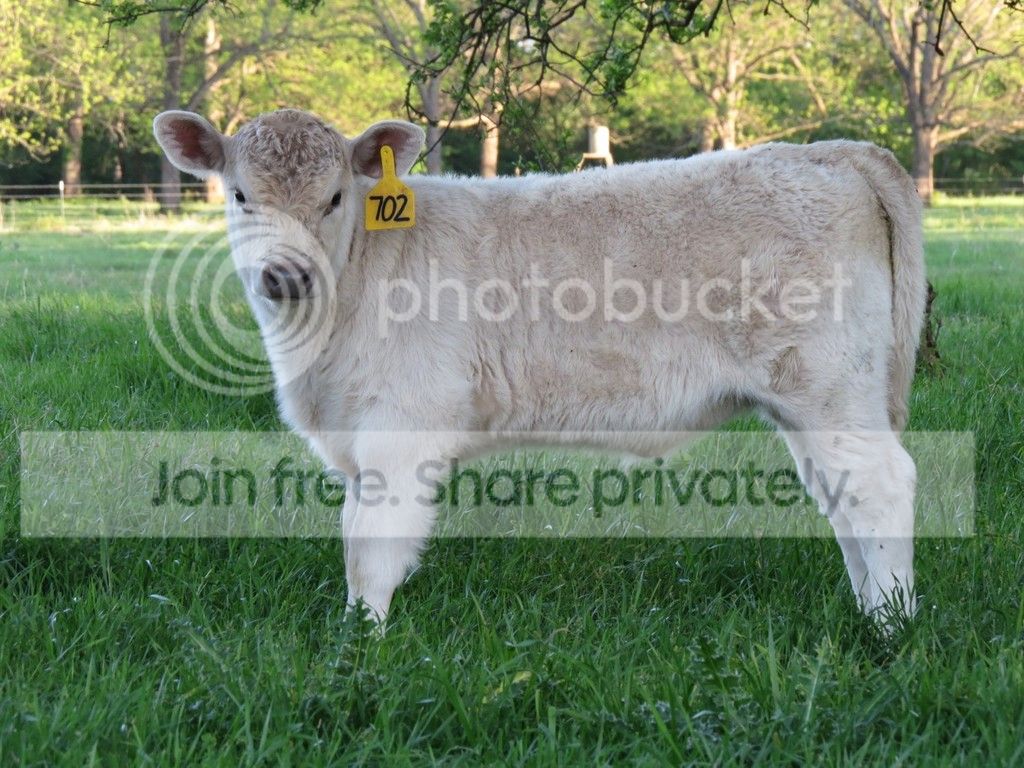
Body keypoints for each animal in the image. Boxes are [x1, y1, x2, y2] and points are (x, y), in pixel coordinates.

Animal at [154, 108, 925, 631]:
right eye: (240, 195)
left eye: (334, 198)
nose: (285, 275)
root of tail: (830, 152)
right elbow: (356, 531)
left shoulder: (401, 425)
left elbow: (370, 545)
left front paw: (360, 641)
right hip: (812, 404)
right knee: (841, 498)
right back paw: (868, 608)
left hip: (830, 388)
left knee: (880, 486)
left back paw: (892, 626)